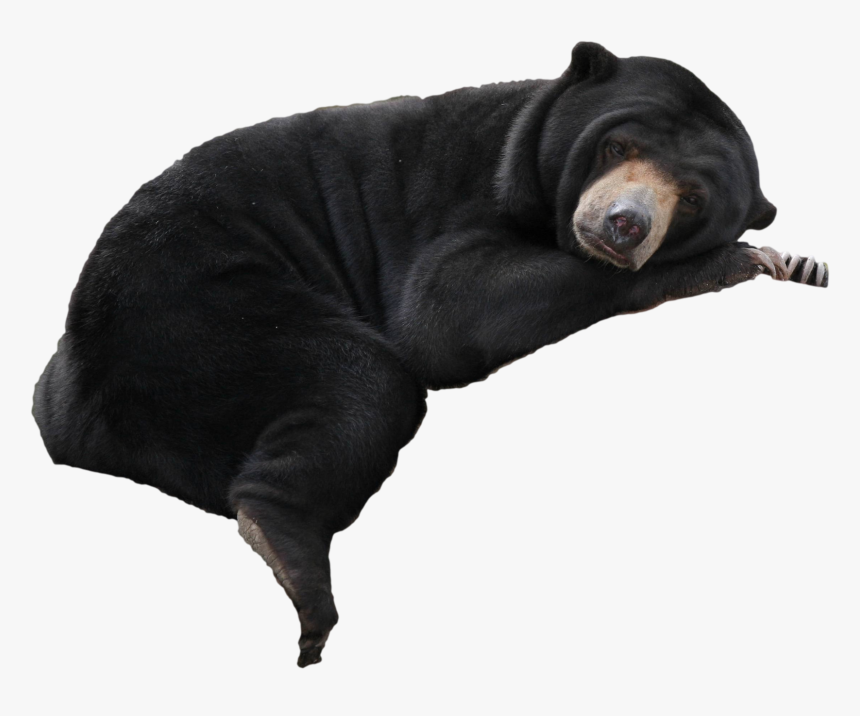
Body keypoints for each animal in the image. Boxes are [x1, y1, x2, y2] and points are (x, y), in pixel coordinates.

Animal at [33, 42, 821, 667]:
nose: (624, 225)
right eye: (617, 148)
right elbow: (443, 311)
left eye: (690, 198)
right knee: (365, 382)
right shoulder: (456, 200)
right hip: (195, 310)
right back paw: (295, 568)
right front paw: (743, 260)